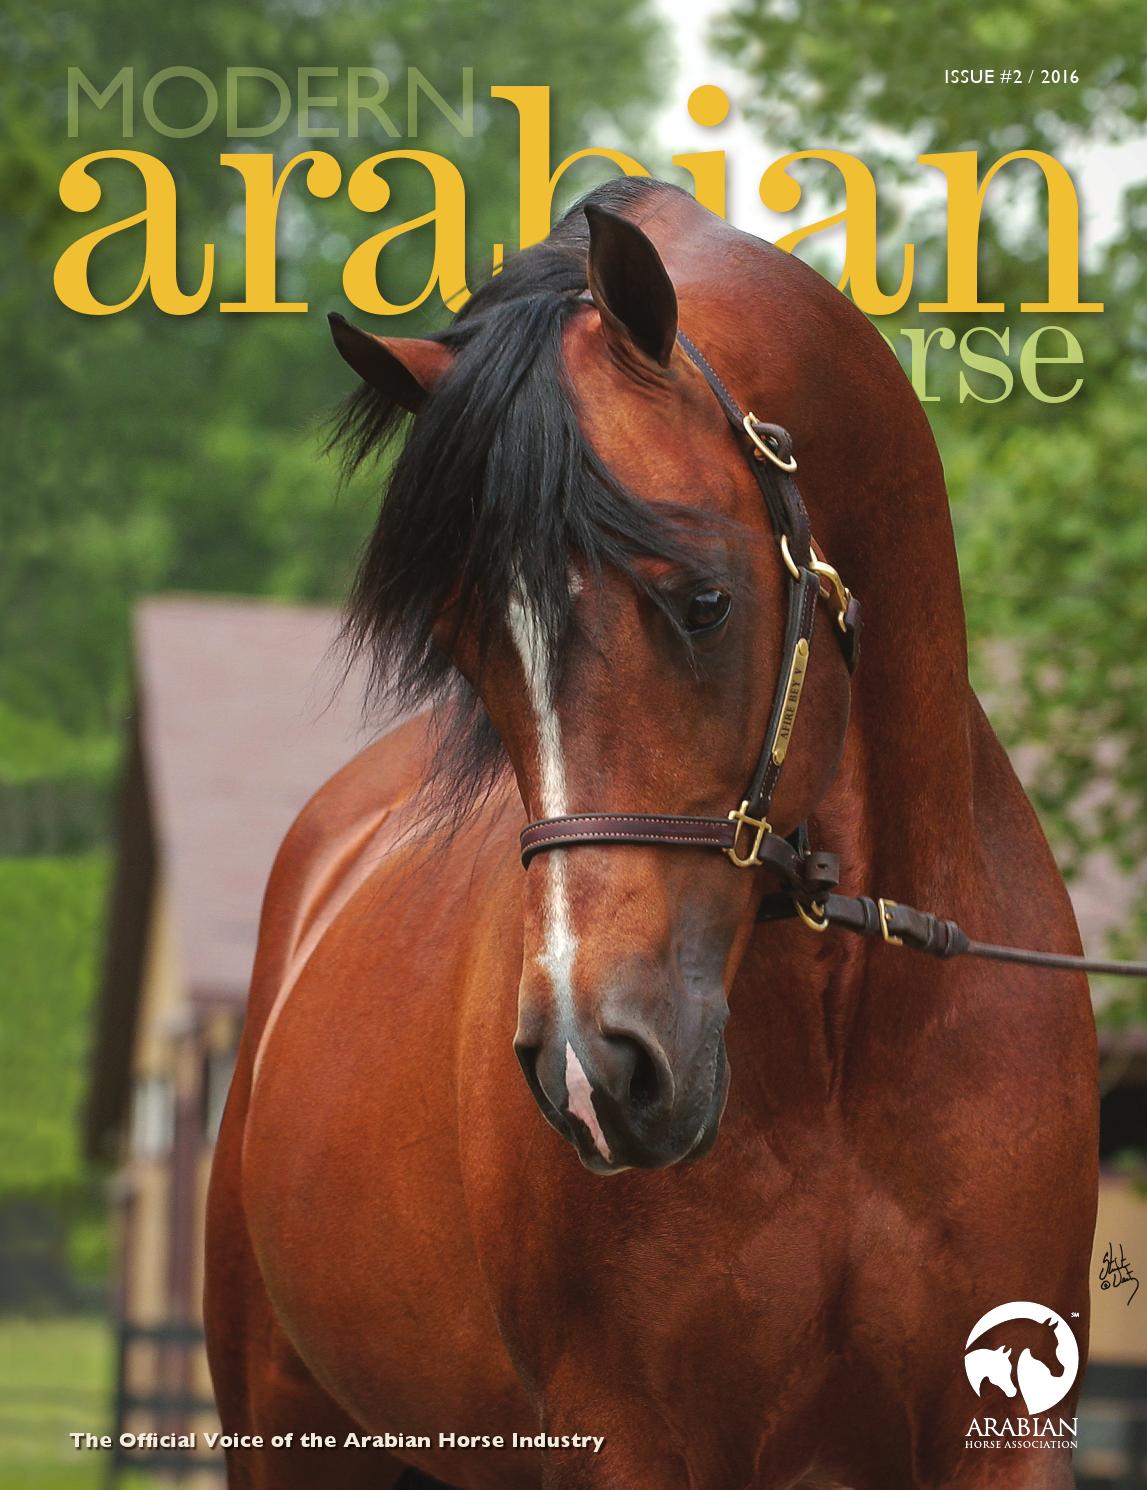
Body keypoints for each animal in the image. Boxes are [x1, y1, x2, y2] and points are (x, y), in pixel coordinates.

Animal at [204, 177, 1099, 1490]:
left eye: (703, 600)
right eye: (466, 645)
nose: (593, 1072)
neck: (848, 1039)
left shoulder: (1005, 1436)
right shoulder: (622, 1435)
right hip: (286, 1424)